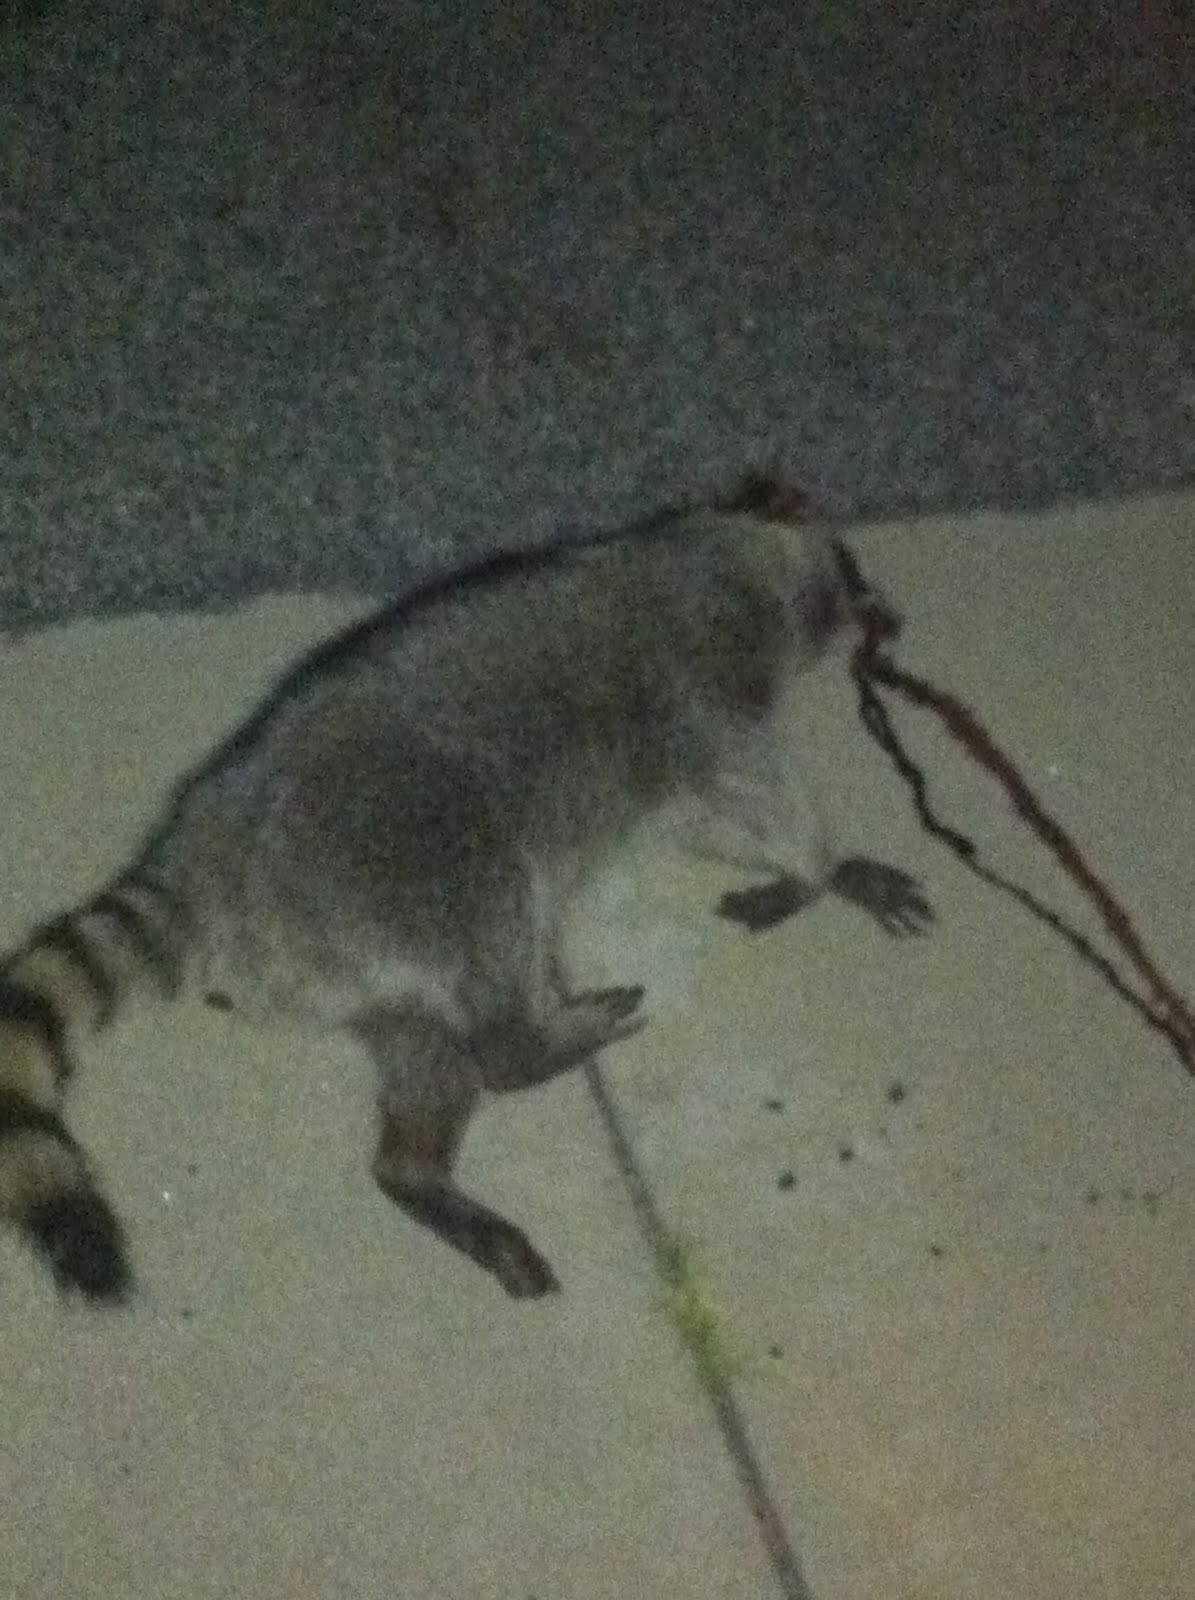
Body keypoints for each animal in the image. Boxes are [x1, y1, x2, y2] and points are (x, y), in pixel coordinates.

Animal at [0, 500, 931, 1302]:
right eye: (855, 578)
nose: (892, 616)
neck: (715, 551)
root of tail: (203, 862)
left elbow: (694, 821)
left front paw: (821, 873)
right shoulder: (703, 686)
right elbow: (747, 792)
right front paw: (822, 866)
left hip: (346, 957)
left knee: (426, 1056)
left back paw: (420, 1174)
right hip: (409, 863)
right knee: (494, 968)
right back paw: (531, 1043)